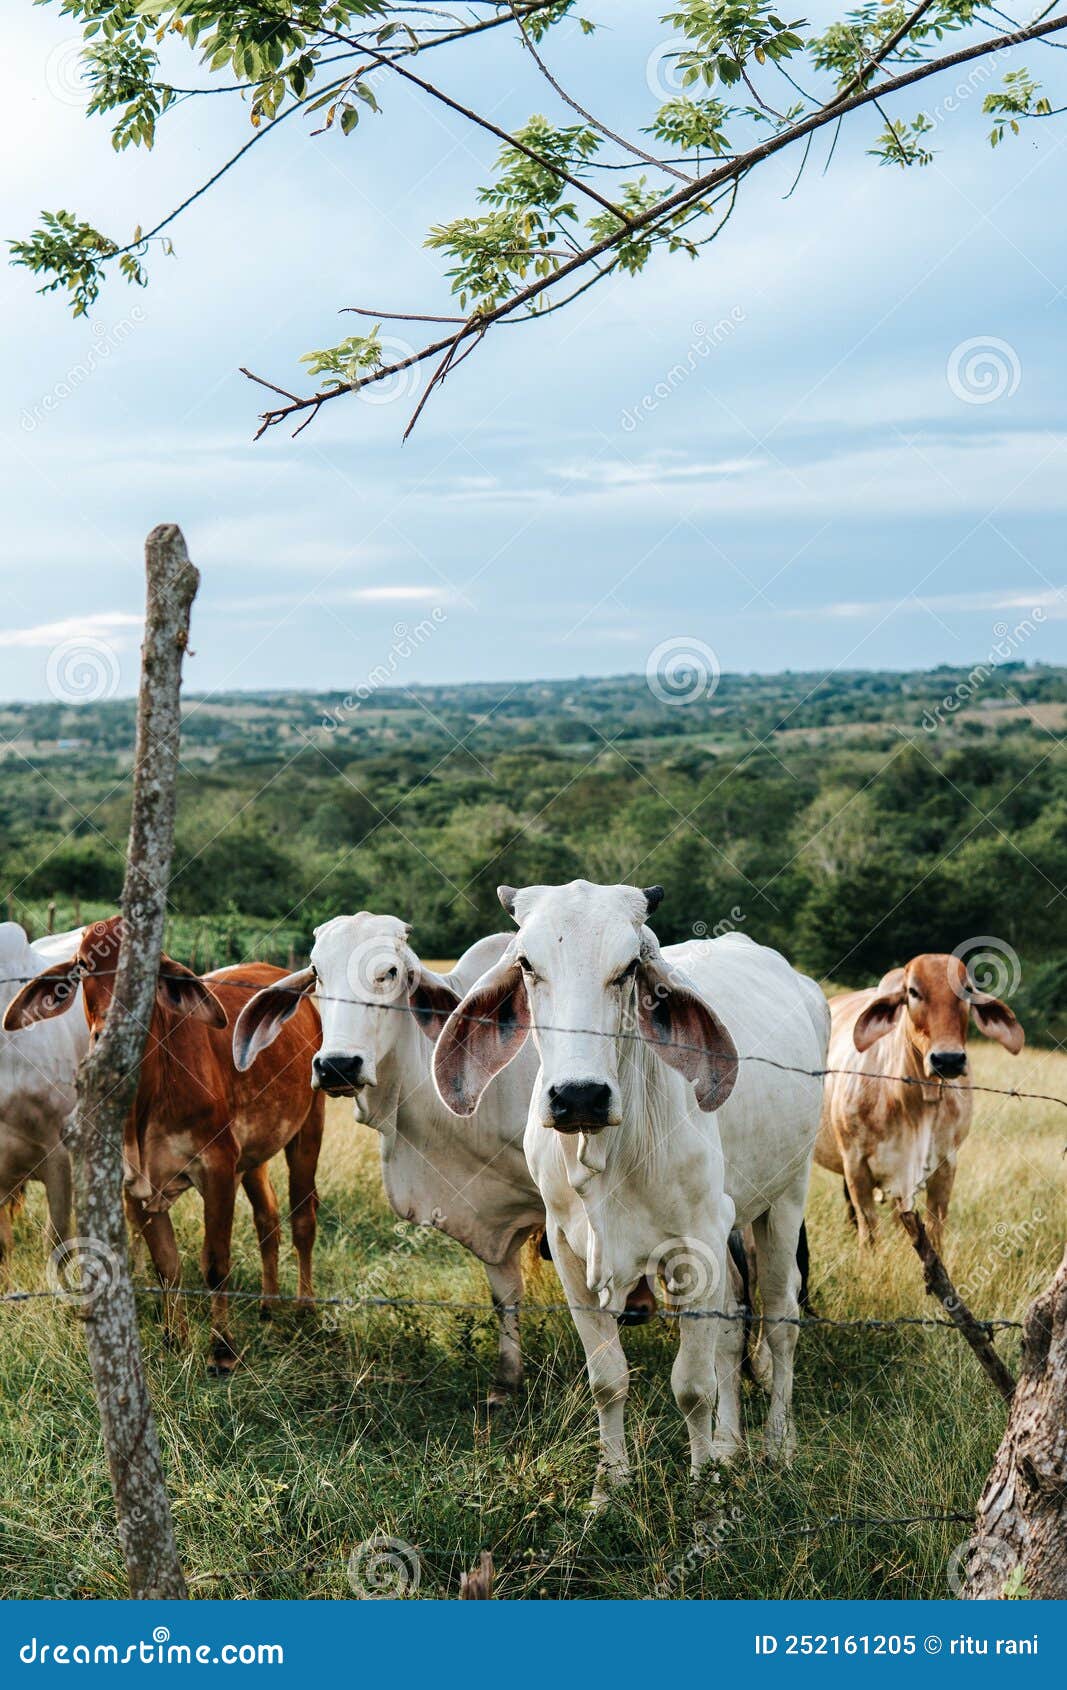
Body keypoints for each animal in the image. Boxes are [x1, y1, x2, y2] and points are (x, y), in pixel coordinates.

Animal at [3, 916, 325, 1373]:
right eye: (82, 965)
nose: (110, 1035)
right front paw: (176, 1338)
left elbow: (215, 1263)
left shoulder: (217, 1167)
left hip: (309, 1126)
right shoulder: (135, 1183)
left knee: (303, 1219)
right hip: (254, 1155)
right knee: (268, 1216)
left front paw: (222, 1349)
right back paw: (267, 1304)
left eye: (151, 964)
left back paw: (304, 1307)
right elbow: (166, 1266)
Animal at [433, 881, 829, 1504]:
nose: (579, 1096)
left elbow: (692, 1385)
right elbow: (608, 1379)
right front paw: (610, 1487)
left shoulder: (696, 1243)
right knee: (733, 1327)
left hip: (787, 1195)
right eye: (527, 964)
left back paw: (777, 1445)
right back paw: (729, 1445)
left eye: (629, 969)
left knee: (780, 1319)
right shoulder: (569, 1250)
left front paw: (699, 1490)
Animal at [815, 953, 1024, 1252]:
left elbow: (934, 1230)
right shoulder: (855, 1165)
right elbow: (869, 1233)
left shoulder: (946, 1165)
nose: (948, 1059)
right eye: (912, 992)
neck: (915, 1103)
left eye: (967, 990)